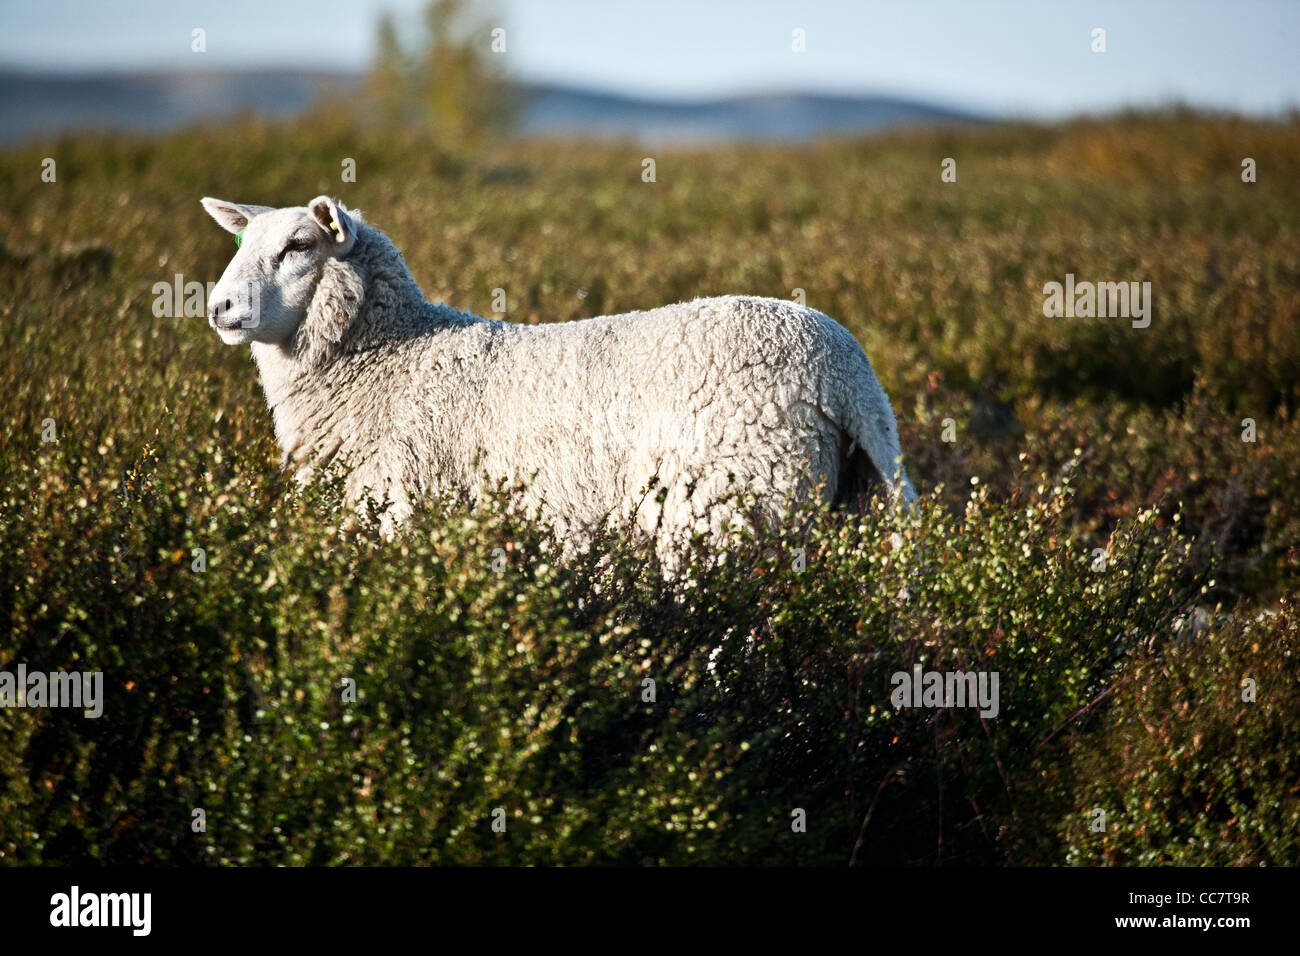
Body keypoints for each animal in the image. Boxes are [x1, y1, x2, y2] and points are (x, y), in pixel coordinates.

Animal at [200, 195, 916, 565]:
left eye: (299, 246)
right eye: (239, 243)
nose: (218, 308)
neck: (394, 356)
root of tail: (846, 376)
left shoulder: (401, 509)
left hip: (721, 506)